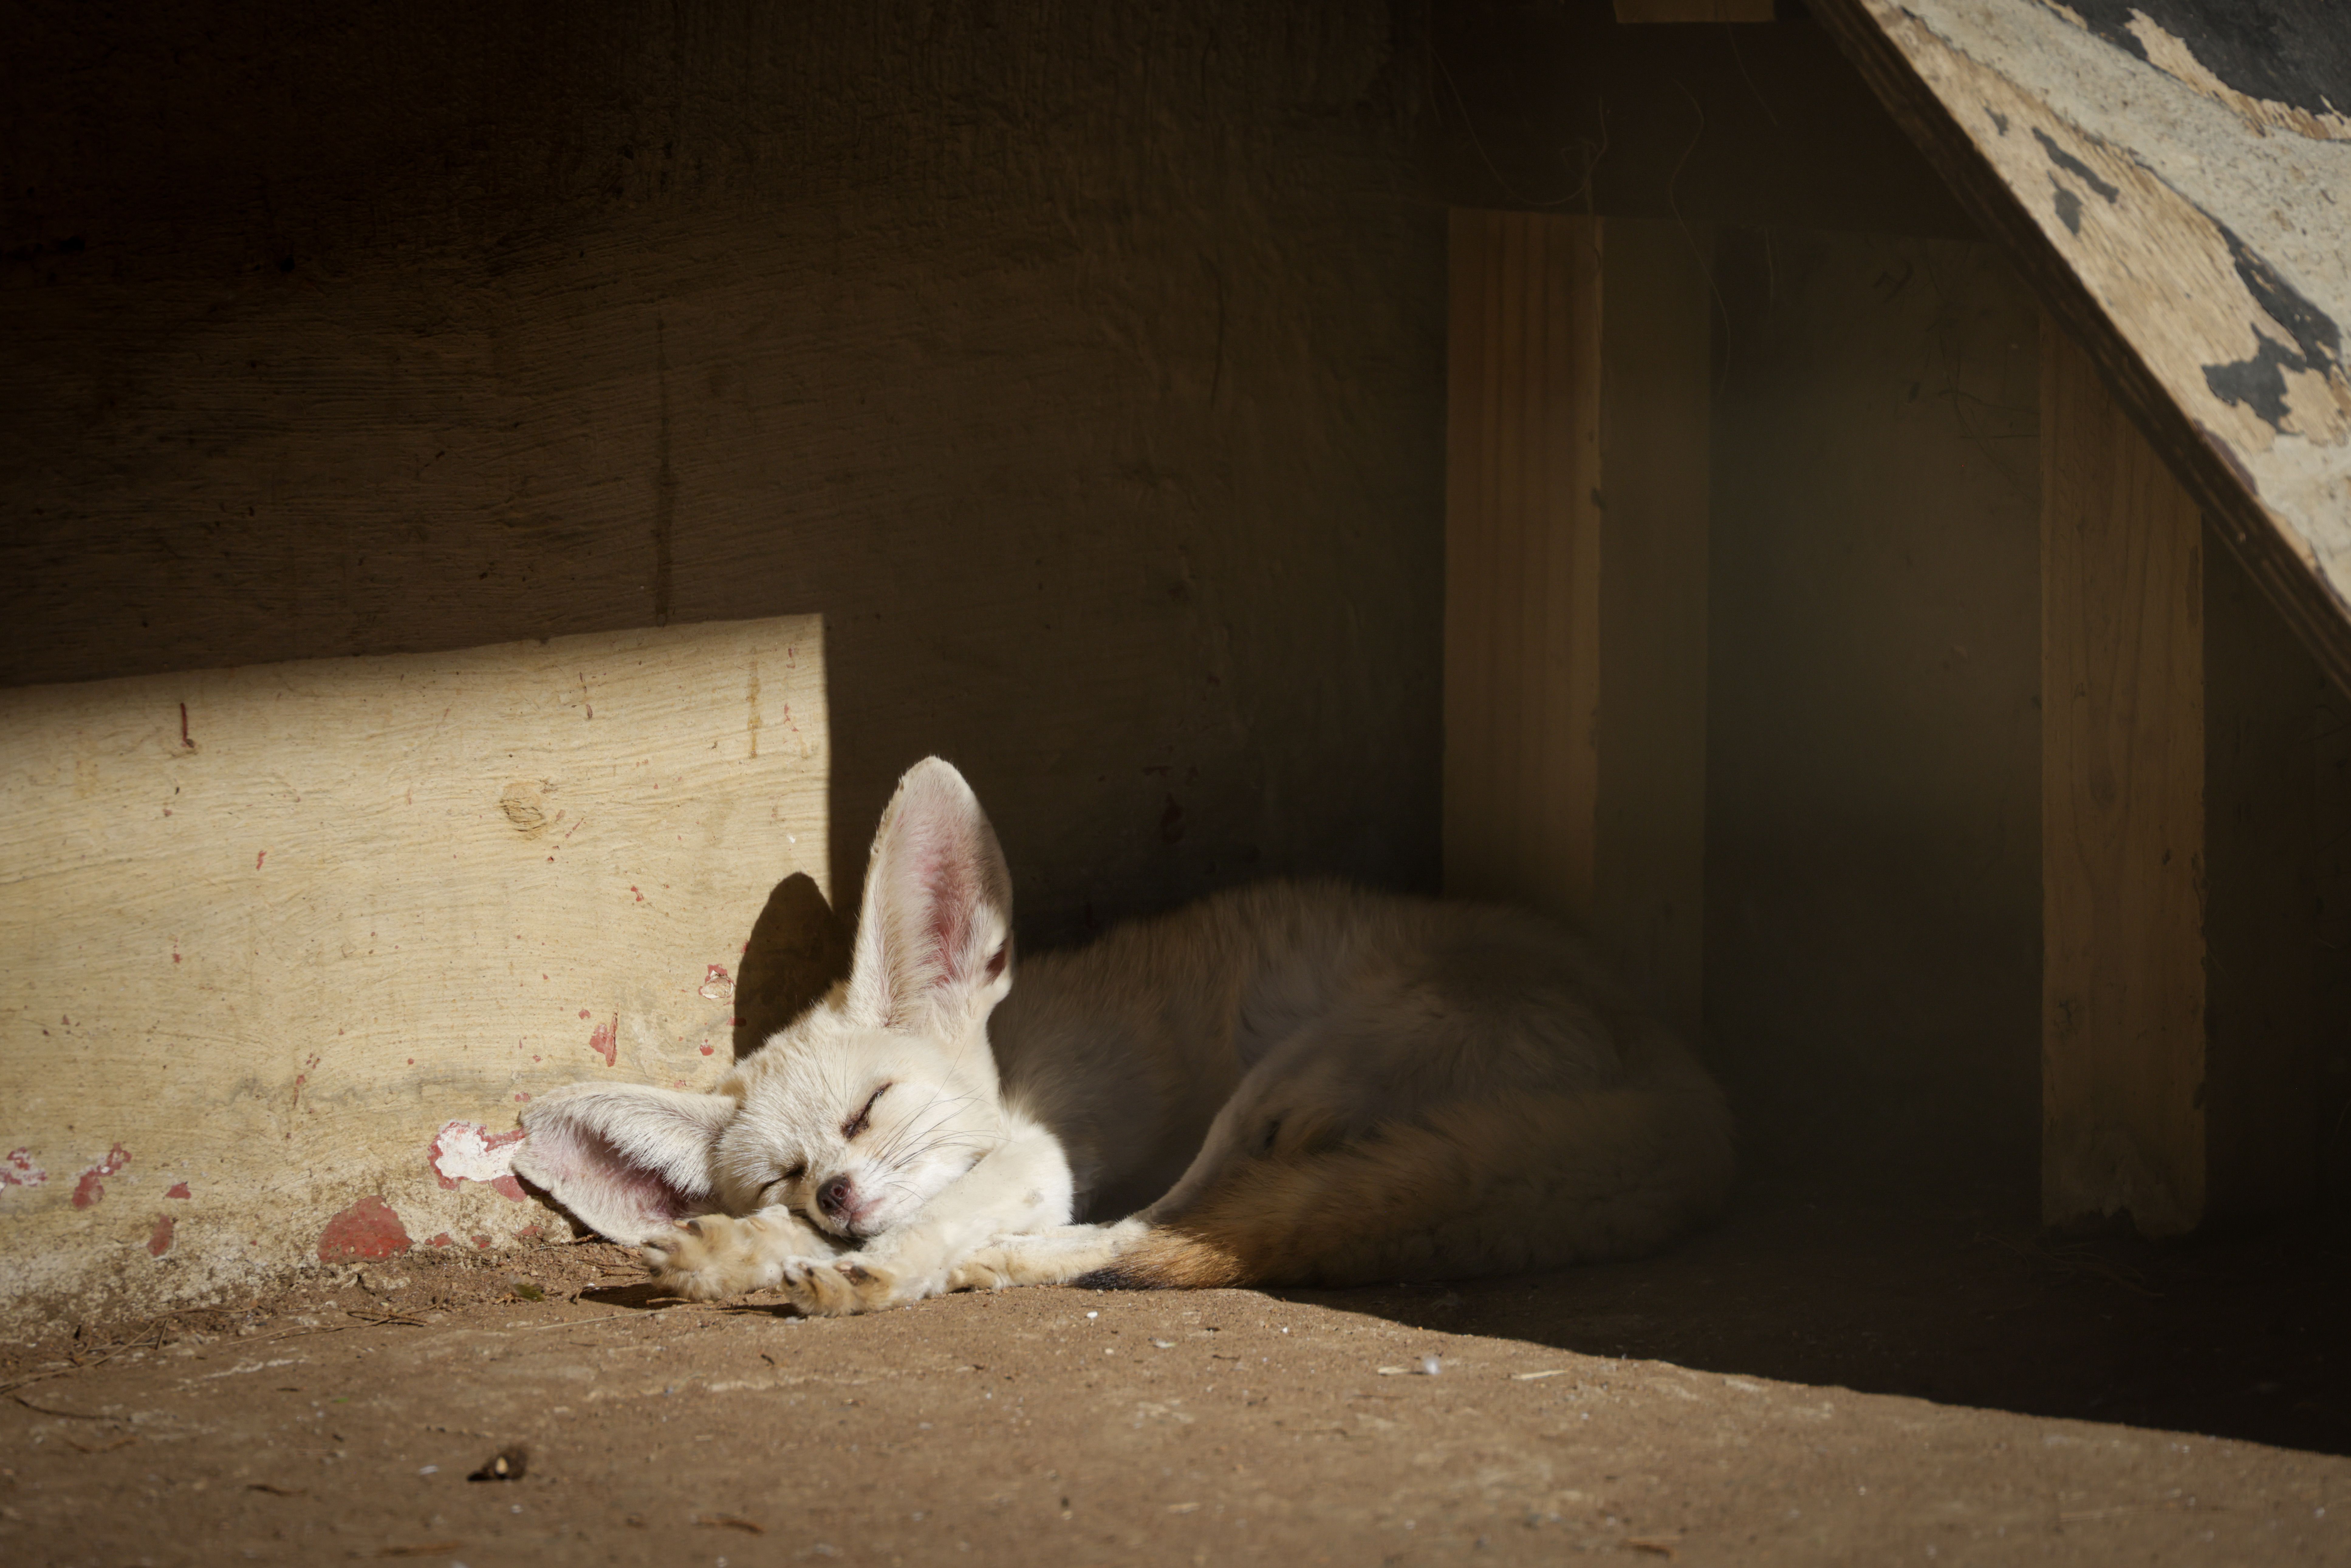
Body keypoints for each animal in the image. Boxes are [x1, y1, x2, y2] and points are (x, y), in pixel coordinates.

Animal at [511, 757, 1734, 1316]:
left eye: (870, 1111)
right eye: (784, 1174)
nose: (839, 1195)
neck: (1008, 1055)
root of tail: (1688, 1088)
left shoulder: (1038, 1158)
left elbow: (938, 1224)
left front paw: (882, 1270)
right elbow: (823, 1238)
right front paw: (744, 1252)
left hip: (1295, 1068)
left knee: (1166, 1226)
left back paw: (1009, 1267)